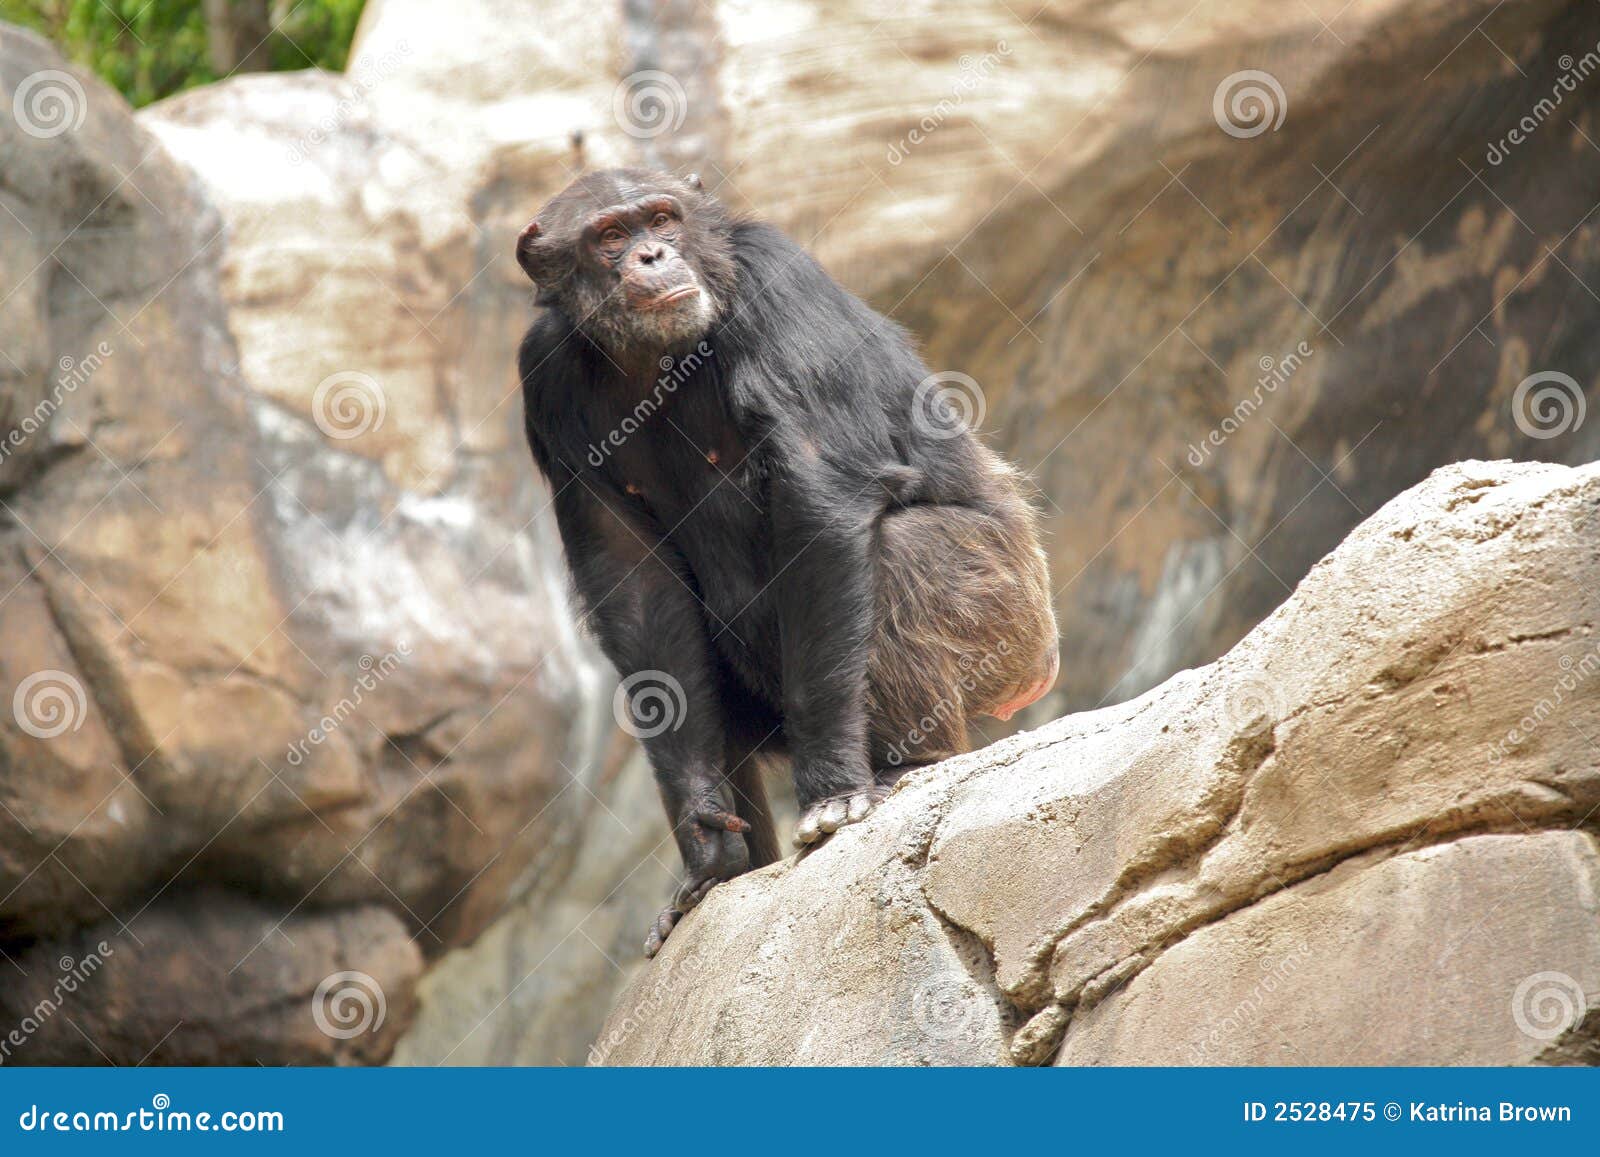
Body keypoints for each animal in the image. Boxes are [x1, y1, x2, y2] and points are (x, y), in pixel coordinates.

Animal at [515, 169, 1058, 956]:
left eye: (662, 218)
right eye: (609, 236)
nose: (650, 255)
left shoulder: (778, 280)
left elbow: (819, 496)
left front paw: (833, 789)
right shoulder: (543, 375)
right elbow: (633, 580)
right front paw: (707, 847)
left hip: (1013, 616)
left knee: (897, 555)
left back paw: (911, 767)